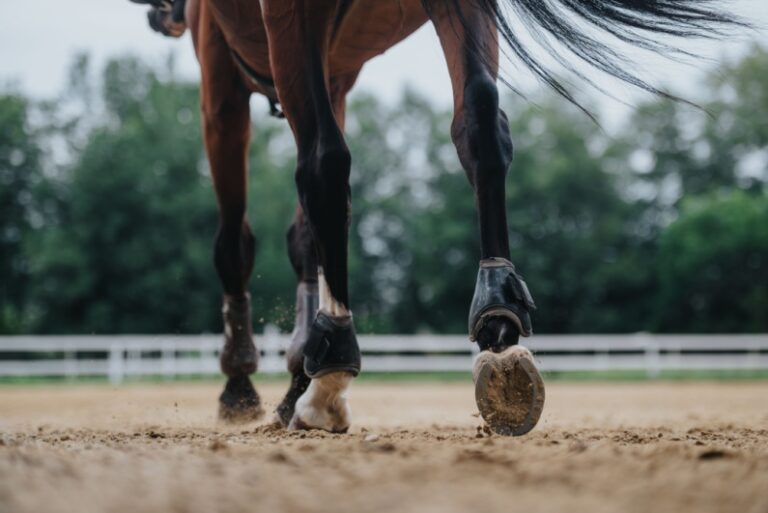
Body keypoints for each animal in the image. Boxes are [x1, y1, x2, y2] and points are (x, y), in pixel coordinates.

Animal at [128, 0, 740, 435]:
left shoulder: (219, 73)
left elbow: (236, 241)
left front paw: (245, 386)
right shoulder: (336, 72)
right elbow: (305, 238)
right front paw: (294, 372)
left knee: (325, 161)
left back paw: (332, 368)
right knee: (481, 122)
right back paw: (497, 313)